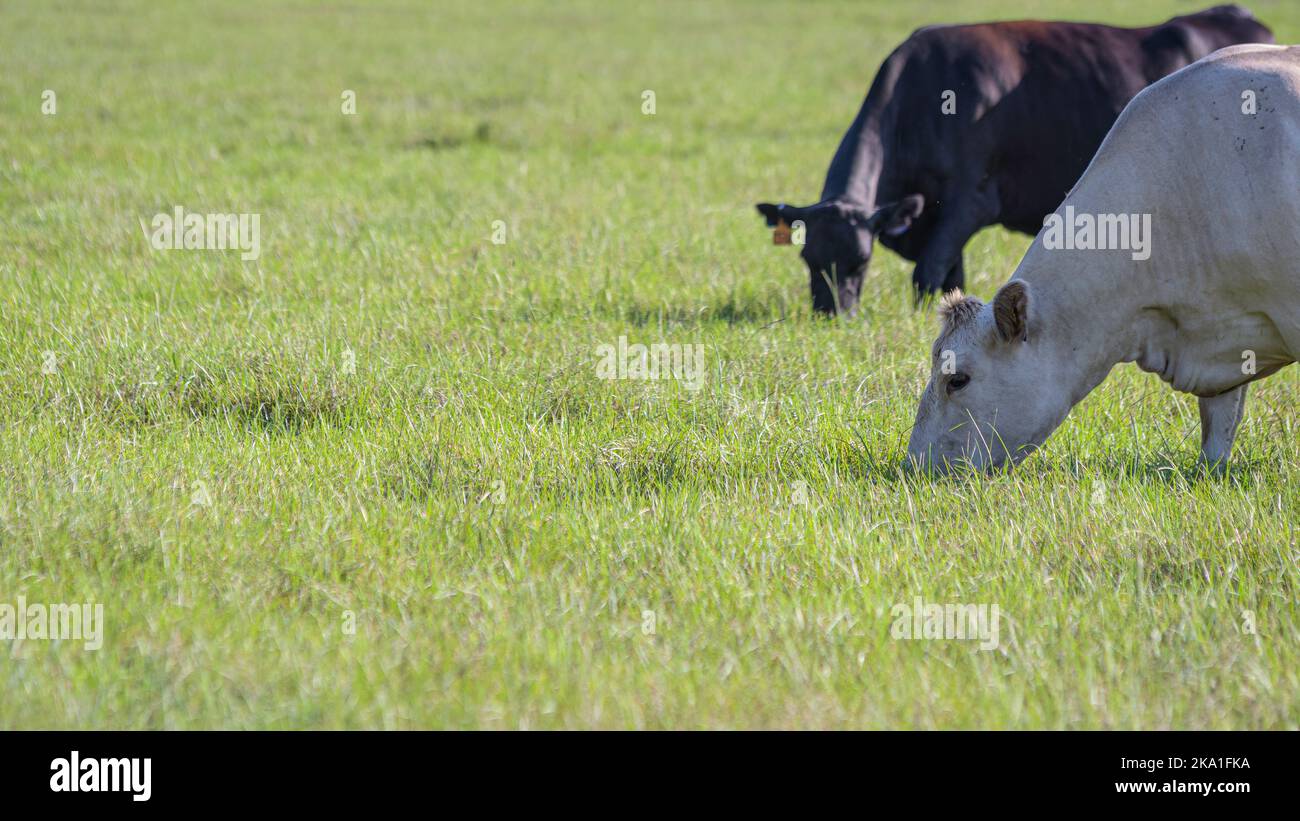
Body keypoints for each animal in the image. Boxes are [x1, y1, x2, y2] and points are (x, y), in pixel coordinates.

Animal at [755, 5, 1273, 315]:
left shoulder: (971, 202)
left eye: (861, 261)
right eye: (806, 257)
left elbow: (926, 276)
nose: (831, 315)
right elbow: (950, 277)